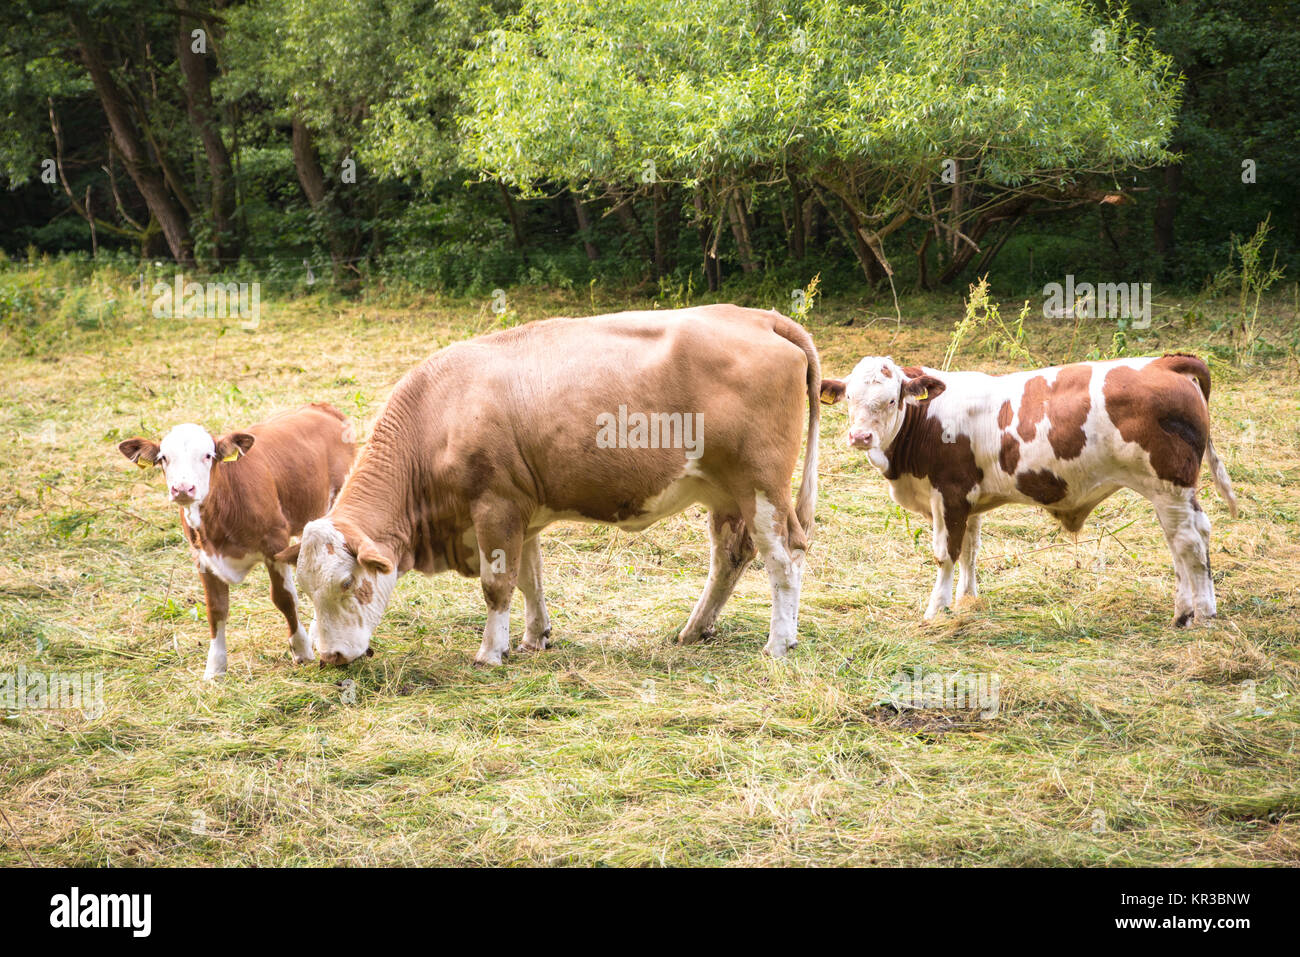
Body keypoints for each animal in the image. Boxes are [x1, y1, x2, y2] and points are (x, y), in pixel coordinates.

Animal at [118, 403, 356, 678]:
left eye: (208, 456)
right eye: (163, 458)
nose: (183, 488)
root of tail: (321, 408)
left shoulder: (274, 543)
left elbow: (284, 599)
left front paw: (301, 649)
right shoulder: (202, 557)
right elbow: (216, 609)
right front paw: (215, 668)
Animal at [277, 305, 821, 666]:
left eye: (347, 583)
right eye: (305, 588)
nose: (330, 658)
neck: (438, 414)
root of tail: (759, 316)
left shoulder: (495, 508)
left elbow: (497, 586)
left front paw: (489, 652)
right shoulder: (523, 513)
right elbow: (529, 579)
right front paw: (534, 637)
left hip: (762, 488)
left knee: (784, 557)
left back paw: (779, 643)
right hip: (725, 493)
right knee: (731, 556)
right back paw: (695, 629)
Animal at [819, 354, 1237, 624]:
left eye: (891, 399)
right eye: (849, 399)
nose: (860, 436)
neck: (927, 419)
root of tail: (1165, 362)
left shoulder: (949, 493)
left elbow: (946, 554)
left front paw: (936, 610)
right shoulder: (969, 498)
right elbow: (970, 550)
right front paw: (967, 600)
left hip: (1169, 486)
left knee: (1187, 544)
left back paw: (1200, 615)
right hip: (1176, 492)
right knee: (1190, 538)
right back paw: (1188, 610)